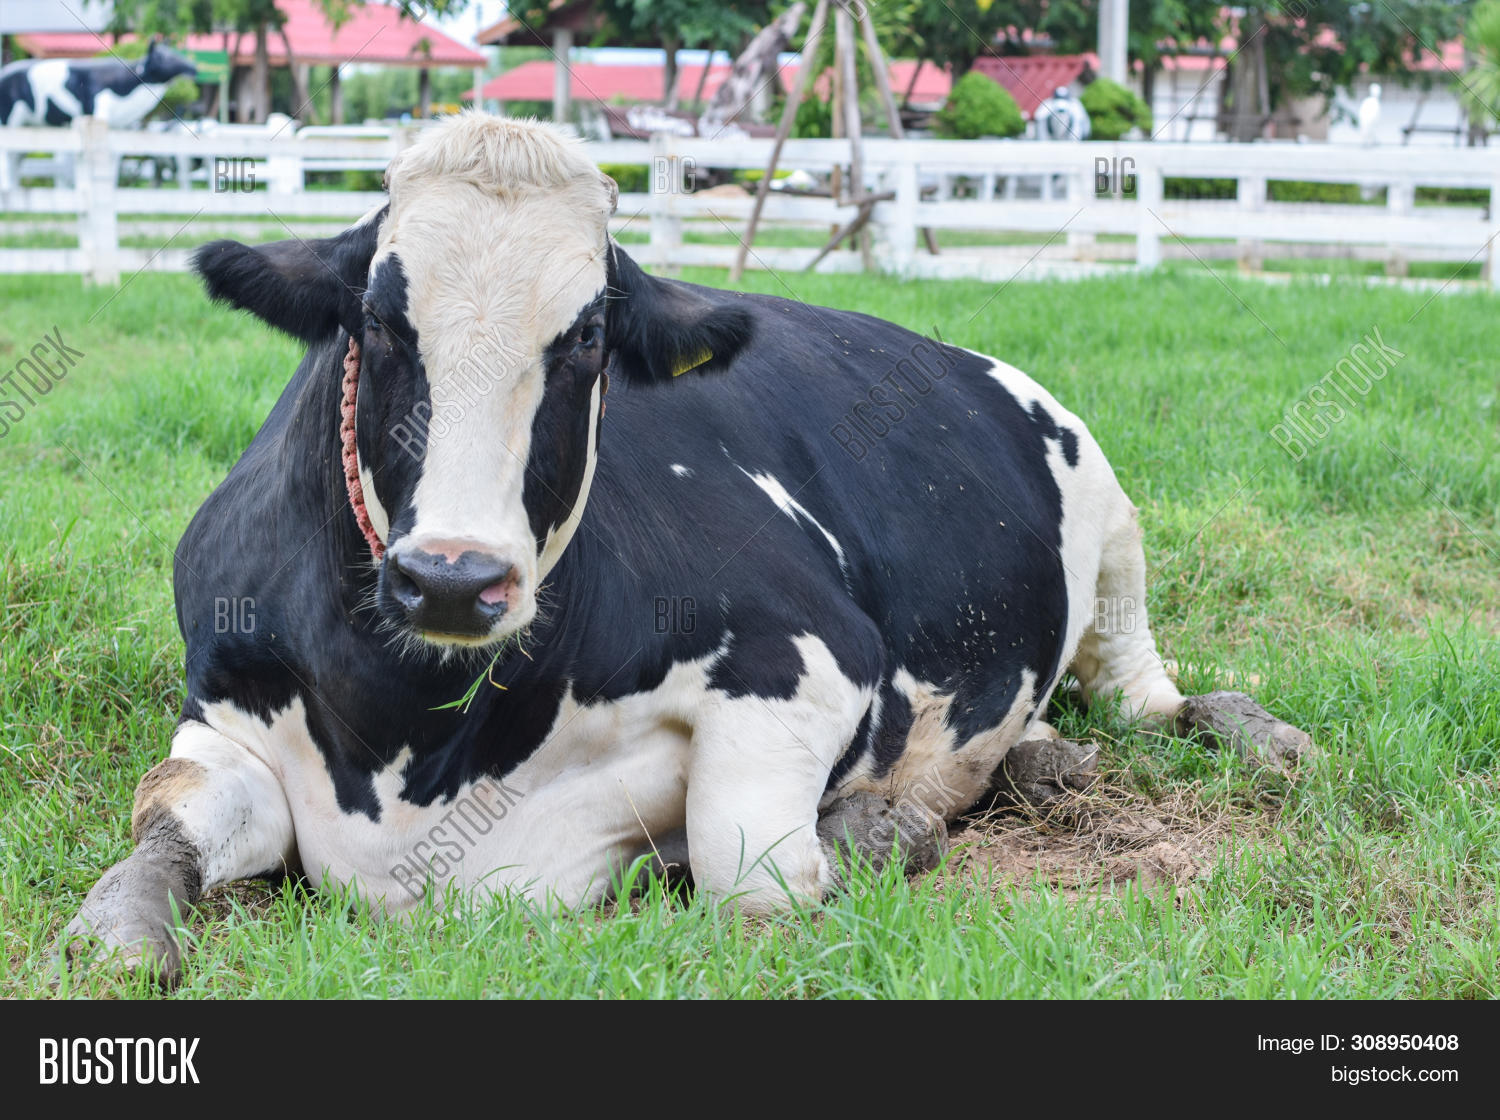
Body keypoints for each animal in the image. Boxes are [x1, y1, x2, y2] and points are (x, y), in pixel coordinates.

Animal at [63, 113, 1306, 981]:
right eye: (377, 318)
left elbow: (748, 865)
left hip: (1112, 530)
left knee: (1160, 697)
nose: (454, 577)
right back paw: (1045, 760)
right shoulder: (226, 709)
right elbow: (164, 815)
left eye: (588, 338)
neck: (411, 744)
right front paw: (119, 926)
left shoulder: (807, 656)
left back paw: (1251, 738)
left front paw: (882, 824)